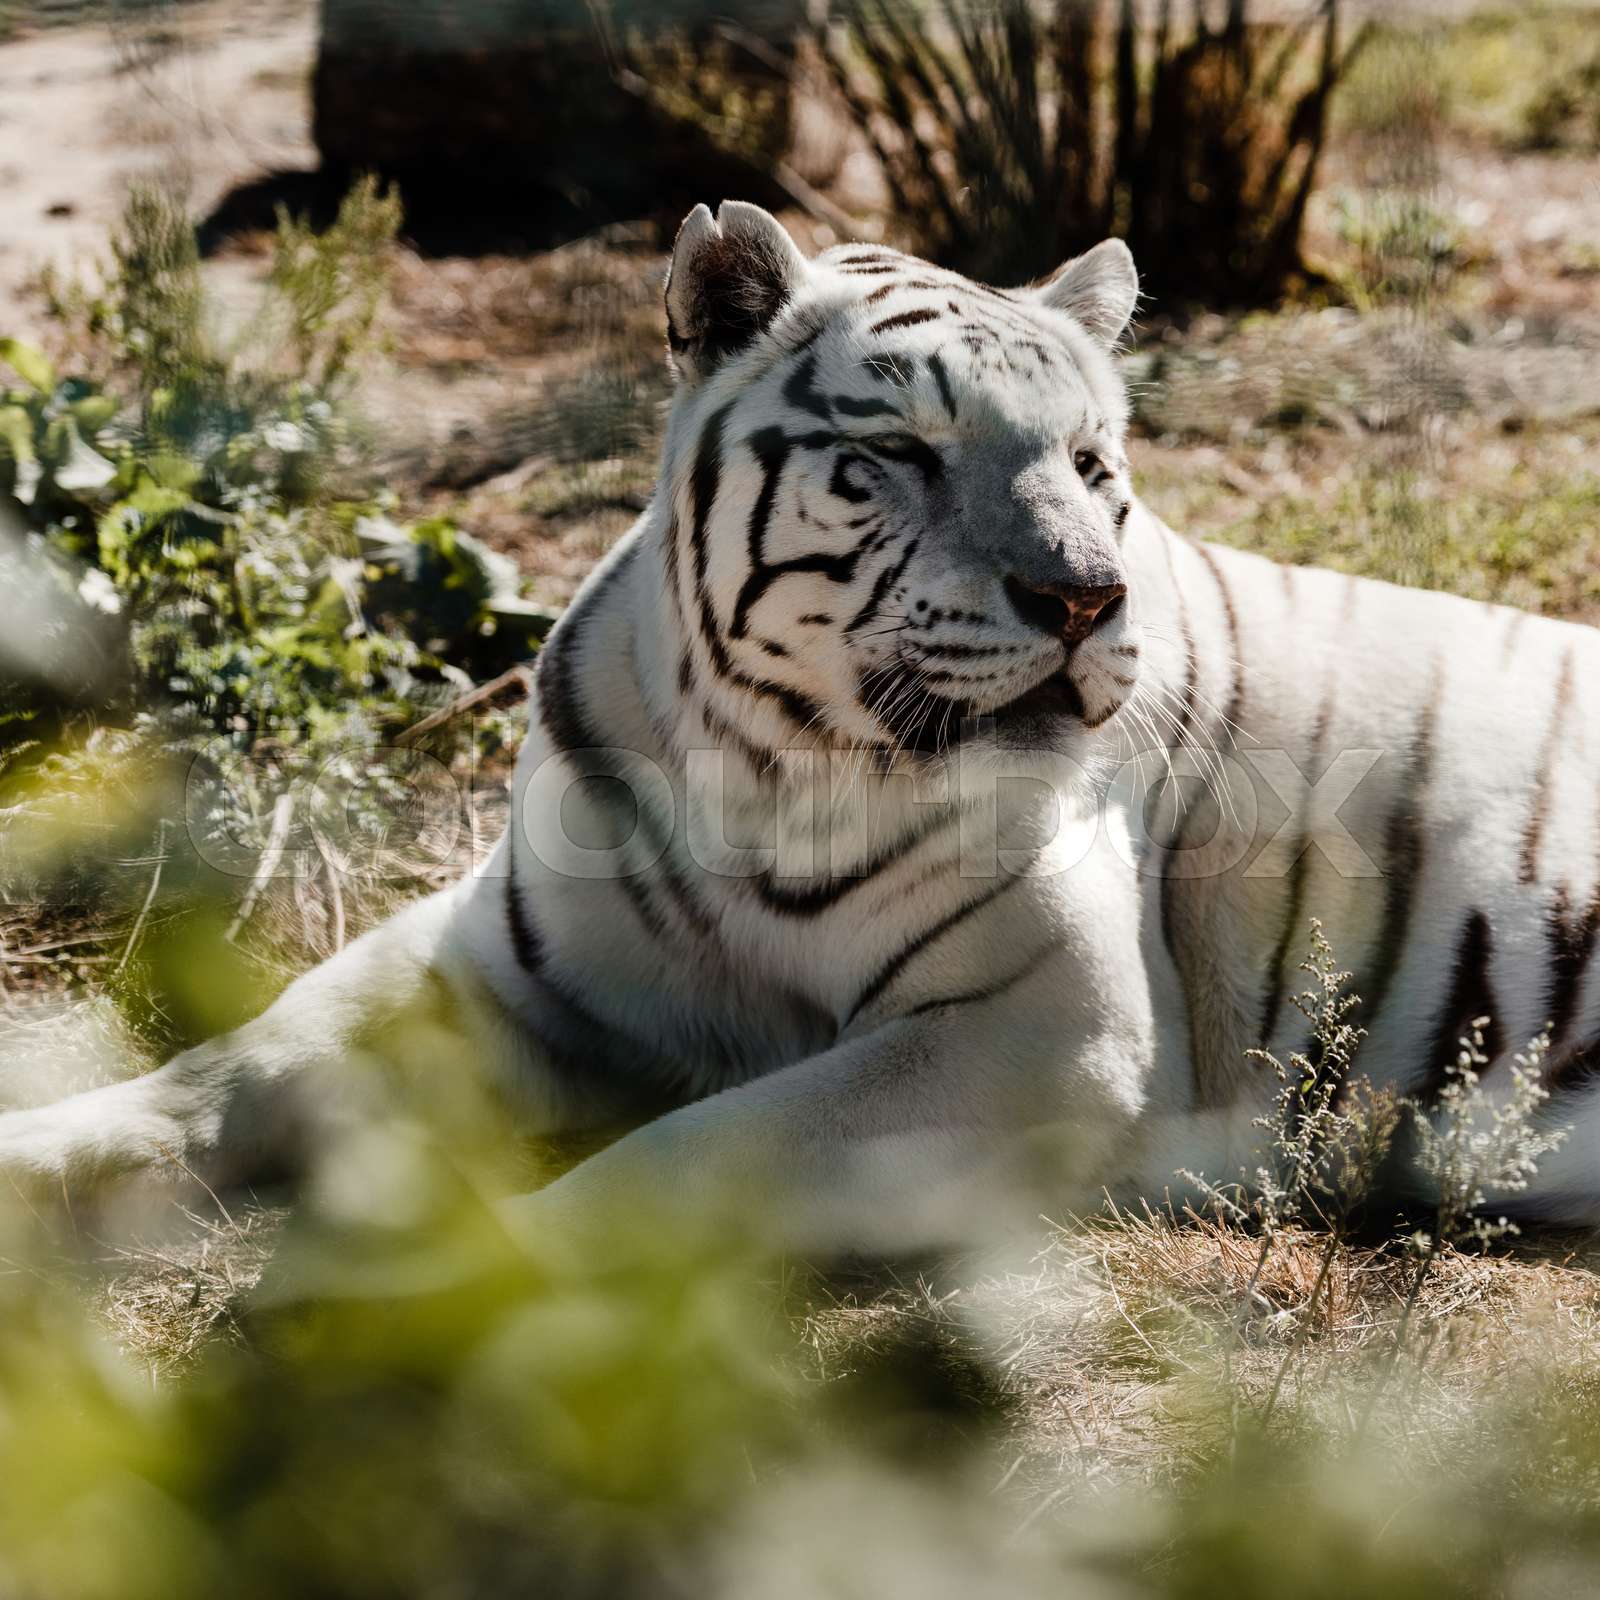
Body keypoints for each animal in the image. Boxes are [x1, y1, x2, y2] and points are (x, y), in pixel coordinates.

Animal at [2, 199, 1598, 1254]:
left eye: (1093, 464)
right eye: (902, 452)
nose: (1086, 597)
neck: (752, 764)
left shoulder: (1040, 1025)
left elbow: (682, 1155)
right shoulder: (498, 964)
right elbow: (243, 1057)